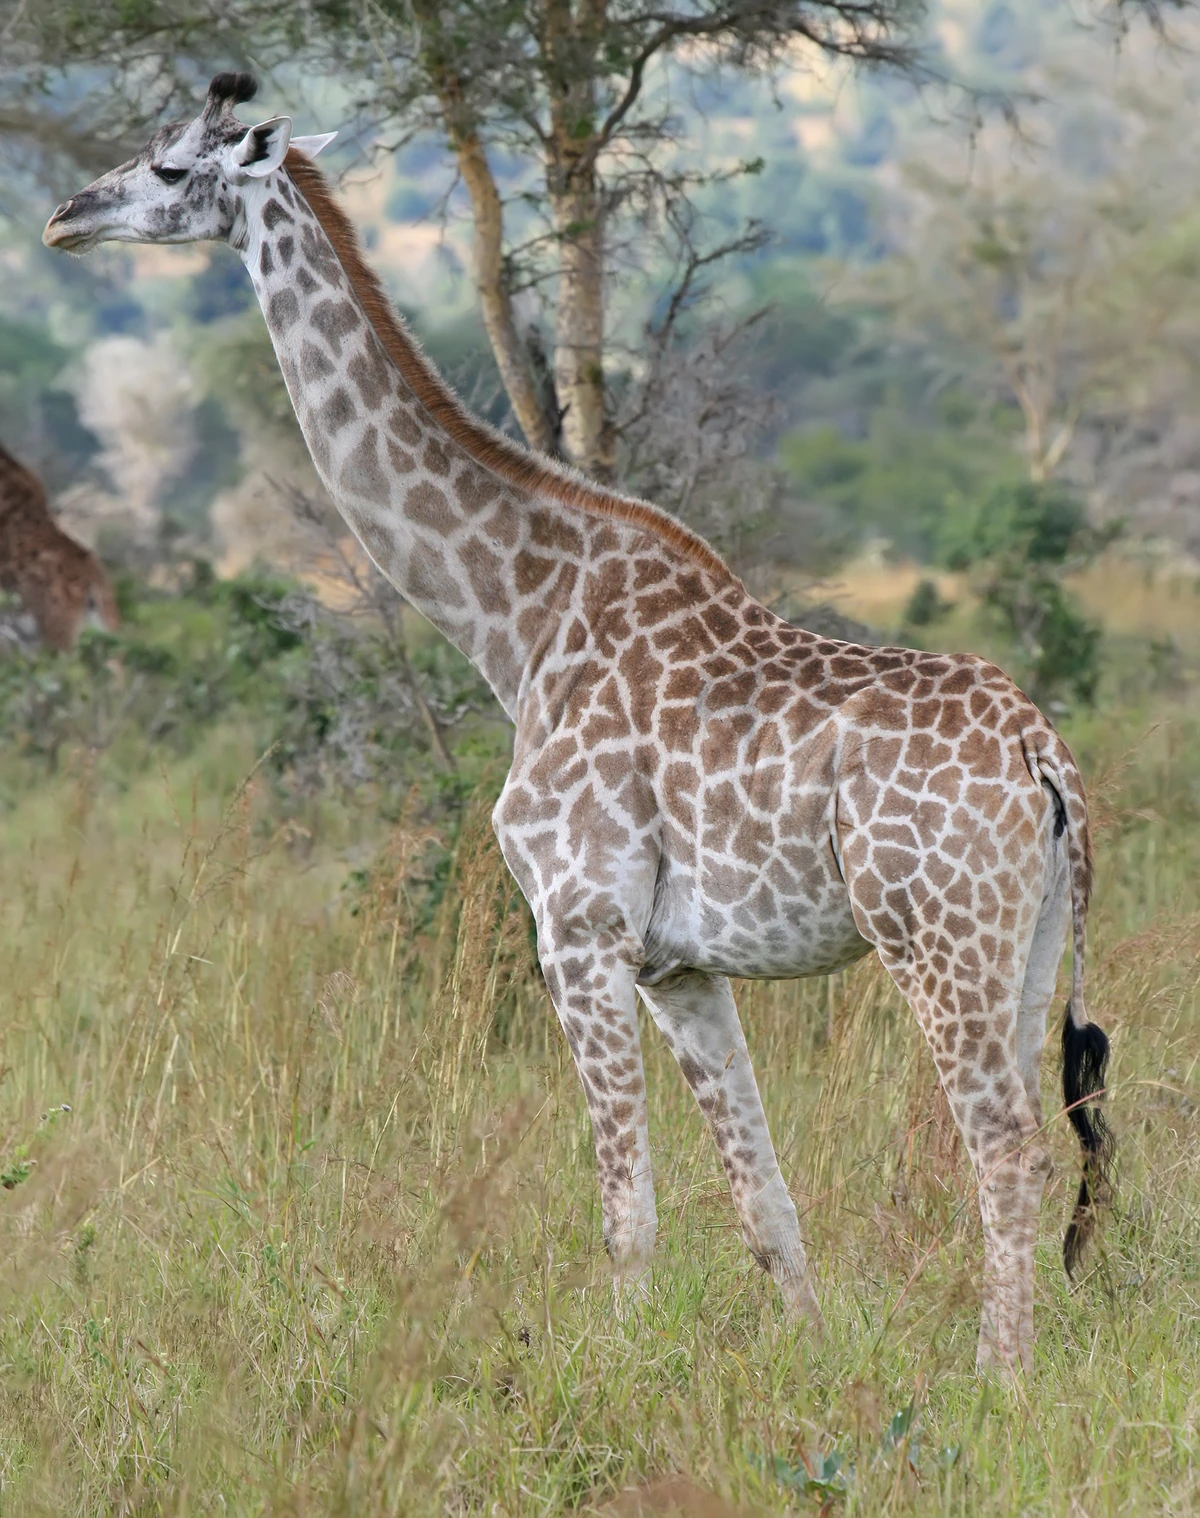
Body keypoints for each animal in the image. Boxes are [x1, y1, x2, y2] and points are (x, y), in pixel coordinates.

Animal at [44, 72, 1115, 1376]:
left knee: (1005, 1147)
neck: (515, 623)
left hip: (933, 933)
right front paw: (808, 1366)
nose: (62, 219)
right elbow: (762, 1200)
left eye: (165, 168)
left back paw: (997, 1383)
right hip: (1028, 939)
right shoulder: (681, 965)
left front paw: (615, 1381)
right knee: (1032, 1140)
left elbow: (625, 1212)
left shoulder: (577, 927)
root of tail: (1042, 755)